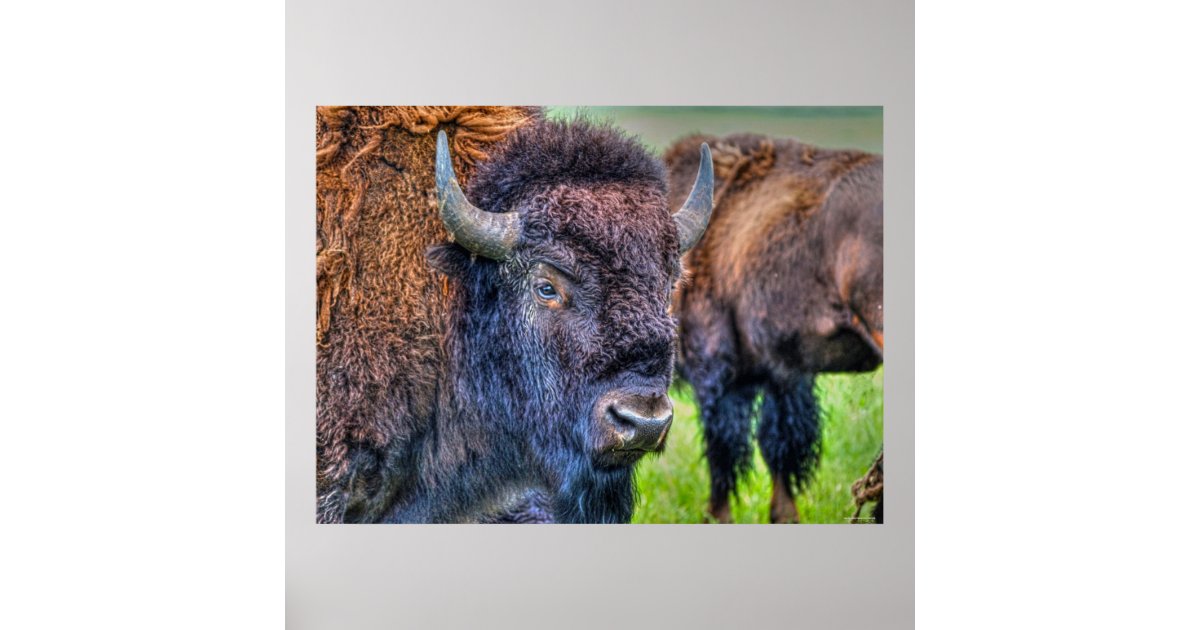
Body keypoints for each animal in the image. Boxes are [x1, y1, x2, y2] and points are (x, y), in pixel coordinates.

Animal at [665, 133, 883, 523]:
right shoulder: (781, 373)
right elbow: (779, 447)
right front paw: (784, 515)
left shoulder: (718, 373)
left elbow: (725, 451)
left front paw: (716, 516)